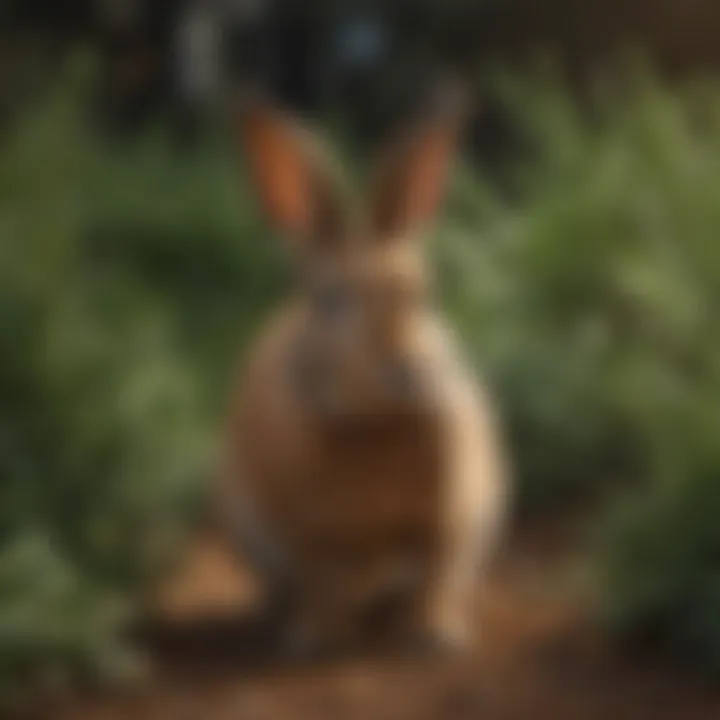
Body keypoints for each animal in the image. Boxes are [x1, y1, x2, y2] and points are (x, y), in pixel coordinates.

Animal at [217, 88, 510, 660]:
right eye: (327, 299)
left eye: (422, 292)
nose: (406, 369)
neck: (378, 423)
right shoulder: (310, 535)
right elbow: (325, 582)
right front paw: (317, 641)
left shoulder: (449, 517)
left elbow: (437, 576)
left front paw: (437, 638)